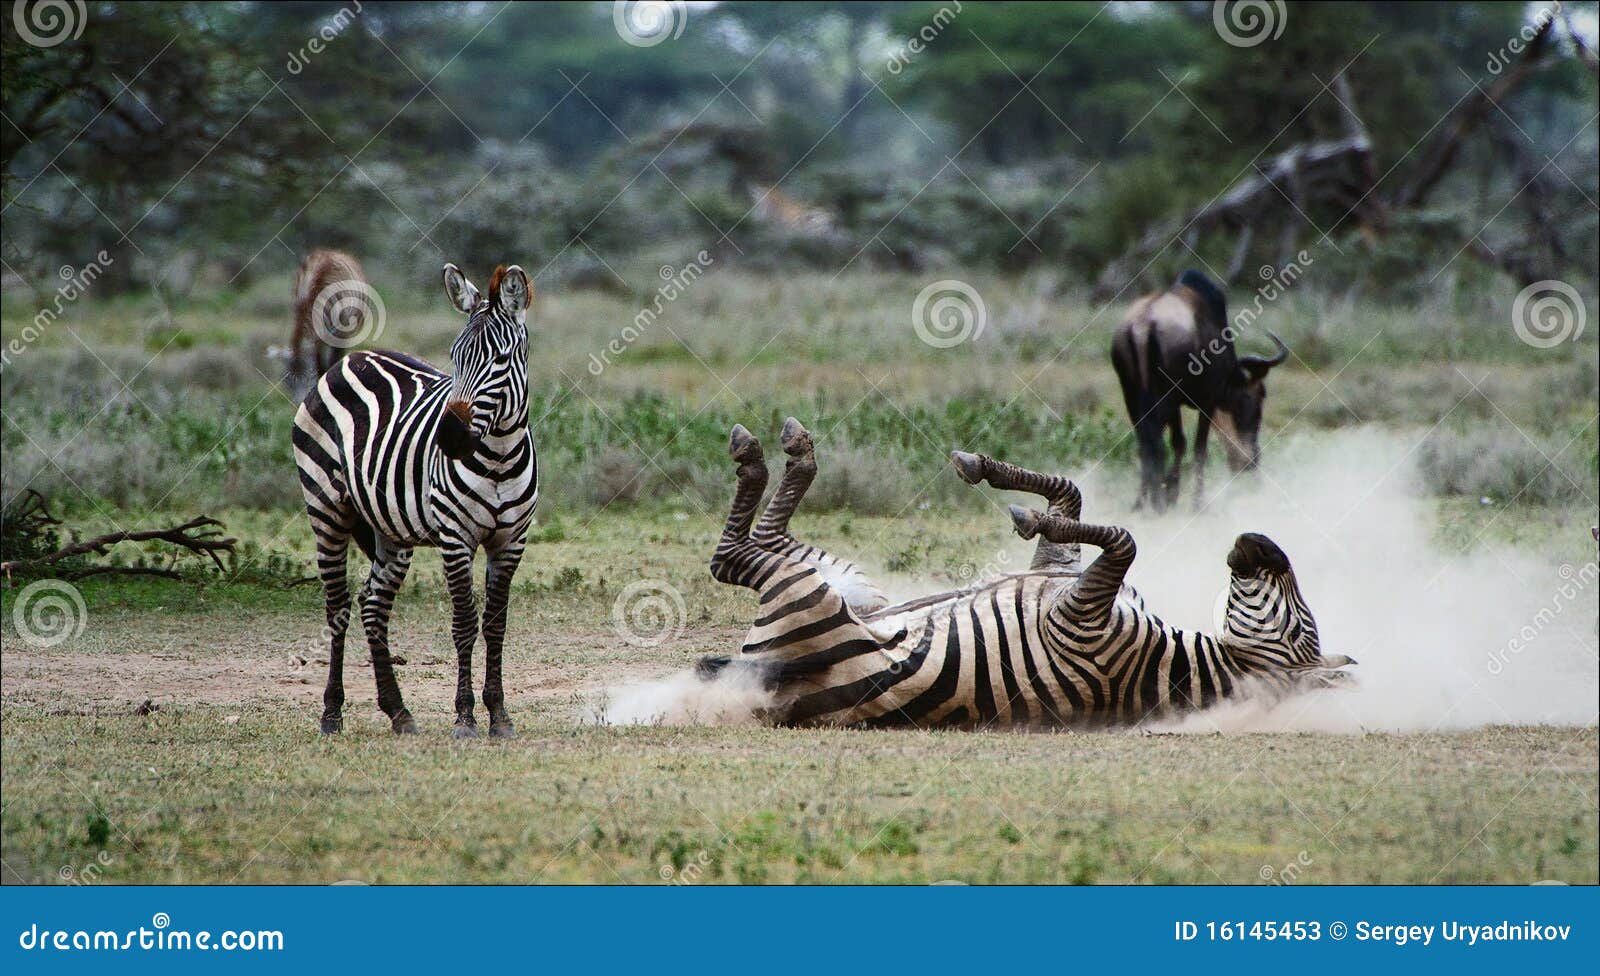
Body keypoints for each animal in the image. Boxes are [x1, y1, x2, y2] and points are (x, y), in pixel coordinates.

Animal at [292, 262, 538, 738]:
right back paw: (331, 713)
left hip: (390, 529)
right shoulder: (456, 537)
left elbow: (496, 625)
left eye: (500, 359)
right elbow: (464, 623)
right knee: (337, 607)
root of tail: (350, 359)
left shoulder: (511, 541)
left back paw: (398, 711)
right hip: (326, 507)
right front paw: (465, 717)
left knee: (372, 606)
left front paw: (499, 715)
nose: (450, 437)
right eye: (454, 356)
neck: (498, 456)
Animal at [702, 420, 1353, 728]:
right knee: (762, 541)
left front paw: (1027, 510)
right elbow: (1072, 493)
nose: (1257, 540)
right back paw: (786, 450)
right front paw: (988, 471)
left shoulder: (1079, 613)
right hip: (857, 589)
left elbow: (1123, 536)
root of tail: (762, 677)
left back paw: (763, 455)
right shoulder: (1063, 580)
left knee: (735, 555)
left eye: (1301, 632)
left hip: (809, 595)